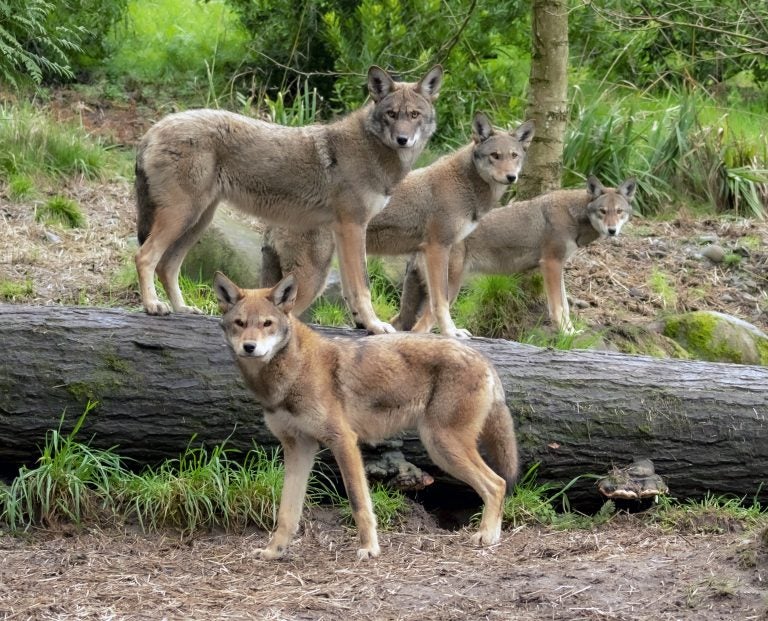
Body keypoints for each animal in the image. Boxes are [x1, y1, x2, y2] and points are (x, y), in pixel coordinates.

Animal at [134, 64, 443, 334]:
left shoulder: (345, 231)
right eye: (391, 114)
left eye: (414, 114)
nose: (403, 139)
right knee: (145, 256)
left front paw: (364, 324)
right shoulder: (353, 227)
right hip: (183, 216)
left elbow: (351, 289)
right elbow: (363, 286)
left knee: (167, 265)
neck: (372, 151)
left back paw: (182, 308)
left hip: (198, 221)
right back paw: (153, 305)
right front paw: (376, 326)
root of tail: (153, 128)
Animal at [214, 271, 519, 560]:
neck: (291, 372)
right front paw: (273, 551)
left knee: (497, 484)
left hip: (442, 447)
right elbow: (287, 512)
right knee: (497, 484)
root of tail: (483, 358)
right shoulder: (299, 448)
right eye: (240, 323)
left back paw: (487, 535)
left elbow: (358, 501)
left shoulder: (344, 441)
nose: (249, 347)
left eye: (267, 324)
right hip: (442, 449)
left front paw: (370, 548)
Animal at [261, 113, 535, 338]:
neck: (465, 184)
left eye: (514, 156)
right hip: (313, 278)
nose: (511, 177)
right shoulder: (438, 249)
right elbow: (441, 303)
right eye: (495, 156)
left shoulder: (424, 255)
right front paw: (451, 333)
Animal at [394, 176, 637, 334]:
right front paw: (564, 334)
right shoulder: (551, 264)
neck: (573, 215)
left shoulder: (559, 266)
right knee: (420, 328)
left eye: (619, 212)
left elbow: (566, 306)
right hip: (450, 291)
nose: (612, 231)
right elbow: (557, 307)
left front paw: (572, 332)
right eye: (603, 211)